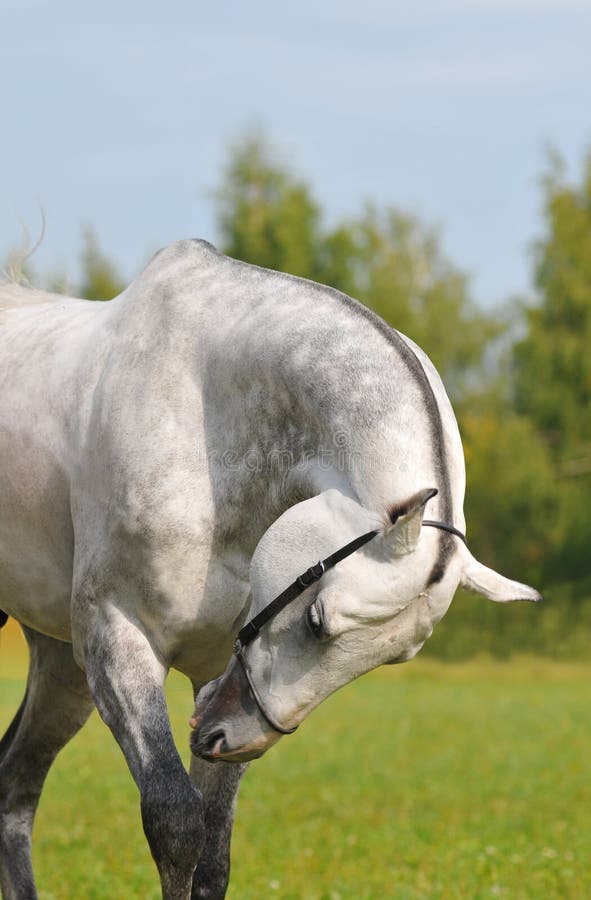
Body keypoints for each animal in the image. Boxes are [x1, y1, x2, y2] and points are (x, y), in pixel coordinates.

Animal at [0, 239, 540, 899]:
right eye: (316, 620)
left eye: (398, 659)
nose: (231, 739)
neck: (202, 417)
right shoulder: (117, 638)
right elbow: (175, 825)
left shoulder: (214, 672)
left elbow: (213, 856)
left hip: (62, 666)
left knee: (15, 787)